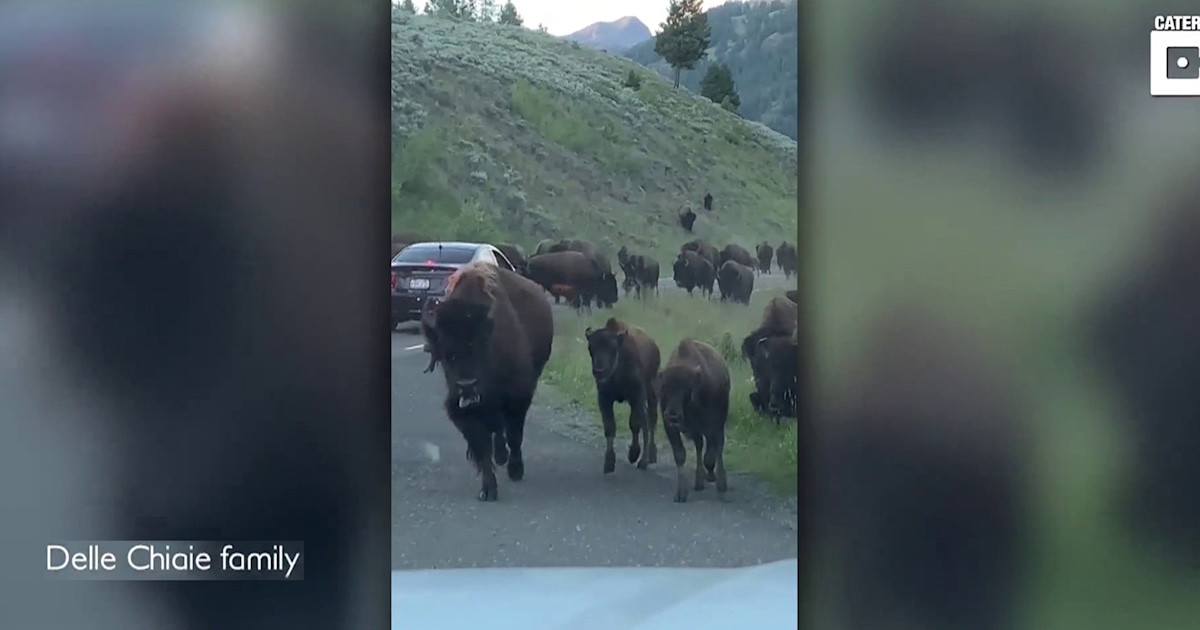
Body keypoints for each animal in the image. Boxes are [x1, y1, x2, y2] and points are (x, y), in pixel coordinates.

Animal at [424, 261, 554, 501]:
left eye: (481, 346)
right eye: (447, 354)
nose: (467, 386)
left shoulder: (518, 398)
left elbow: (514, 434)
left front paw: (515, 470)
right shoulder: (462, 410)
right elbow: (481, 446)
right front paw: (488, 489)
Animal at [585, 318, 662, 473]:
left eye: (612, 347)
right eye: (591, 348)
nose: (599, 370)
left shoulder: (637, 398)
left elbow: (638, 425)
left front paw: (638, 457)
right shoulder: (604, 399)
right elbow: (610, 427)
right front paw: (609, 463)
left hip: (651, 395)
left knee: (651, 421)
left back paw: (650, 456)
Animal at [655, 338, 731, 503]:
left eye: (688, 389)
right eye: (664, 388)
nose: (673, 416)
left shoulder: (715, 424)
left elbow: (716, 449)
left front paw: (721, 486)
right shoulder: (671, 428)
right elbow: (680, 455)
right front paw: (681, 493)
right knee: (699, 446)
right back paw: (699, 481)